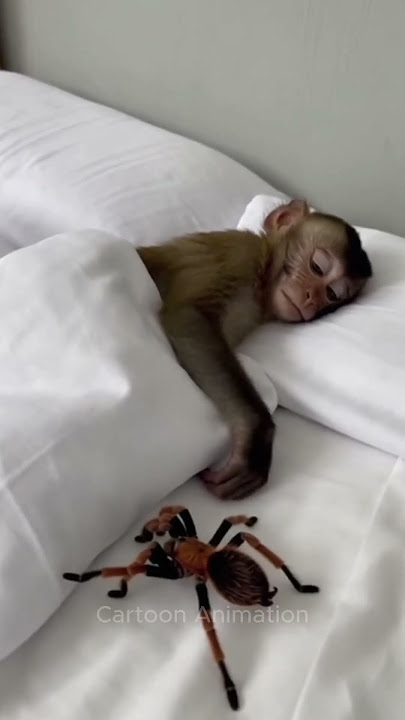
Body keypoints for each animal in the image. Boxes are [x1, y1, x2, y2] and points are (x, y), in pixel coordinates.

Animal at [137, 200, 372, 501]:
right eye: (317, 266)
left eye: (331, 296)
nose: (311, 300)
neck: (262, 280)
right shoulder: (239, 254)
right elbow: (189, 317)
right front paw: (256, 432)